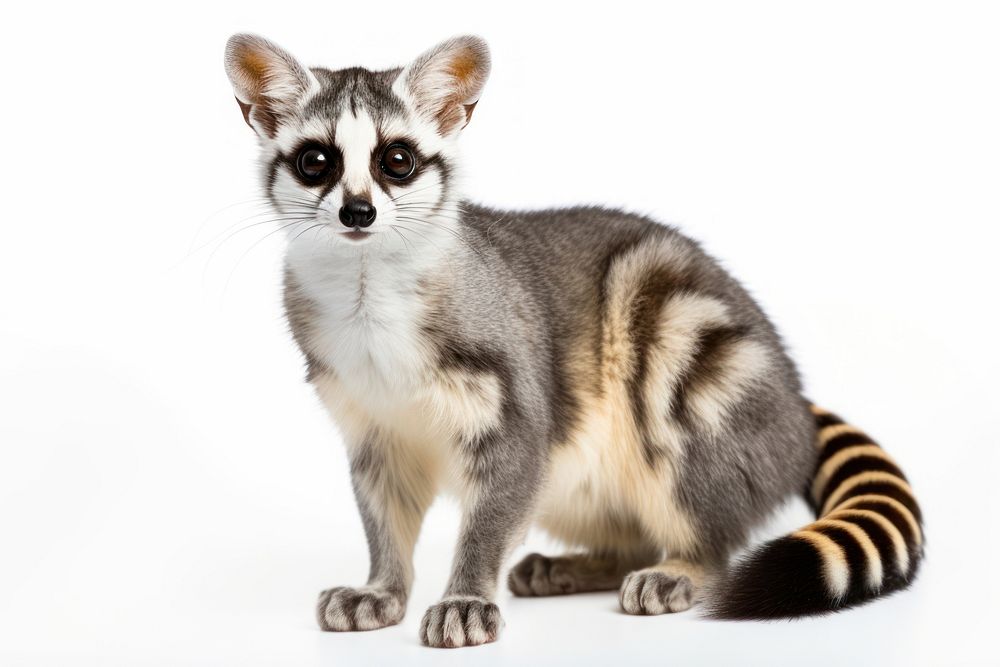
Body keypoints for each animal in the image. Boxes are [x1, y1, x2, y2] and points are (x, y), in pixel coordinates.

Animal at [223, 33, 923, 648]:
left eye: (397, 160)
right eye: (316, 161)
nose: (358, 212)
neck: (368, 284)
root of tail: (792, 403)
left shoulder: (503, 361)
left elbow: (512, 467)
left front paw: (465, 590)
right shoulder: (362, 404)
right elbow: (382, 495)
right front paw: (385, 582)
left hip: (685, 338)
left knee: (671, 389)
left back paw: (692, 560)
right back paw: (600, 560)